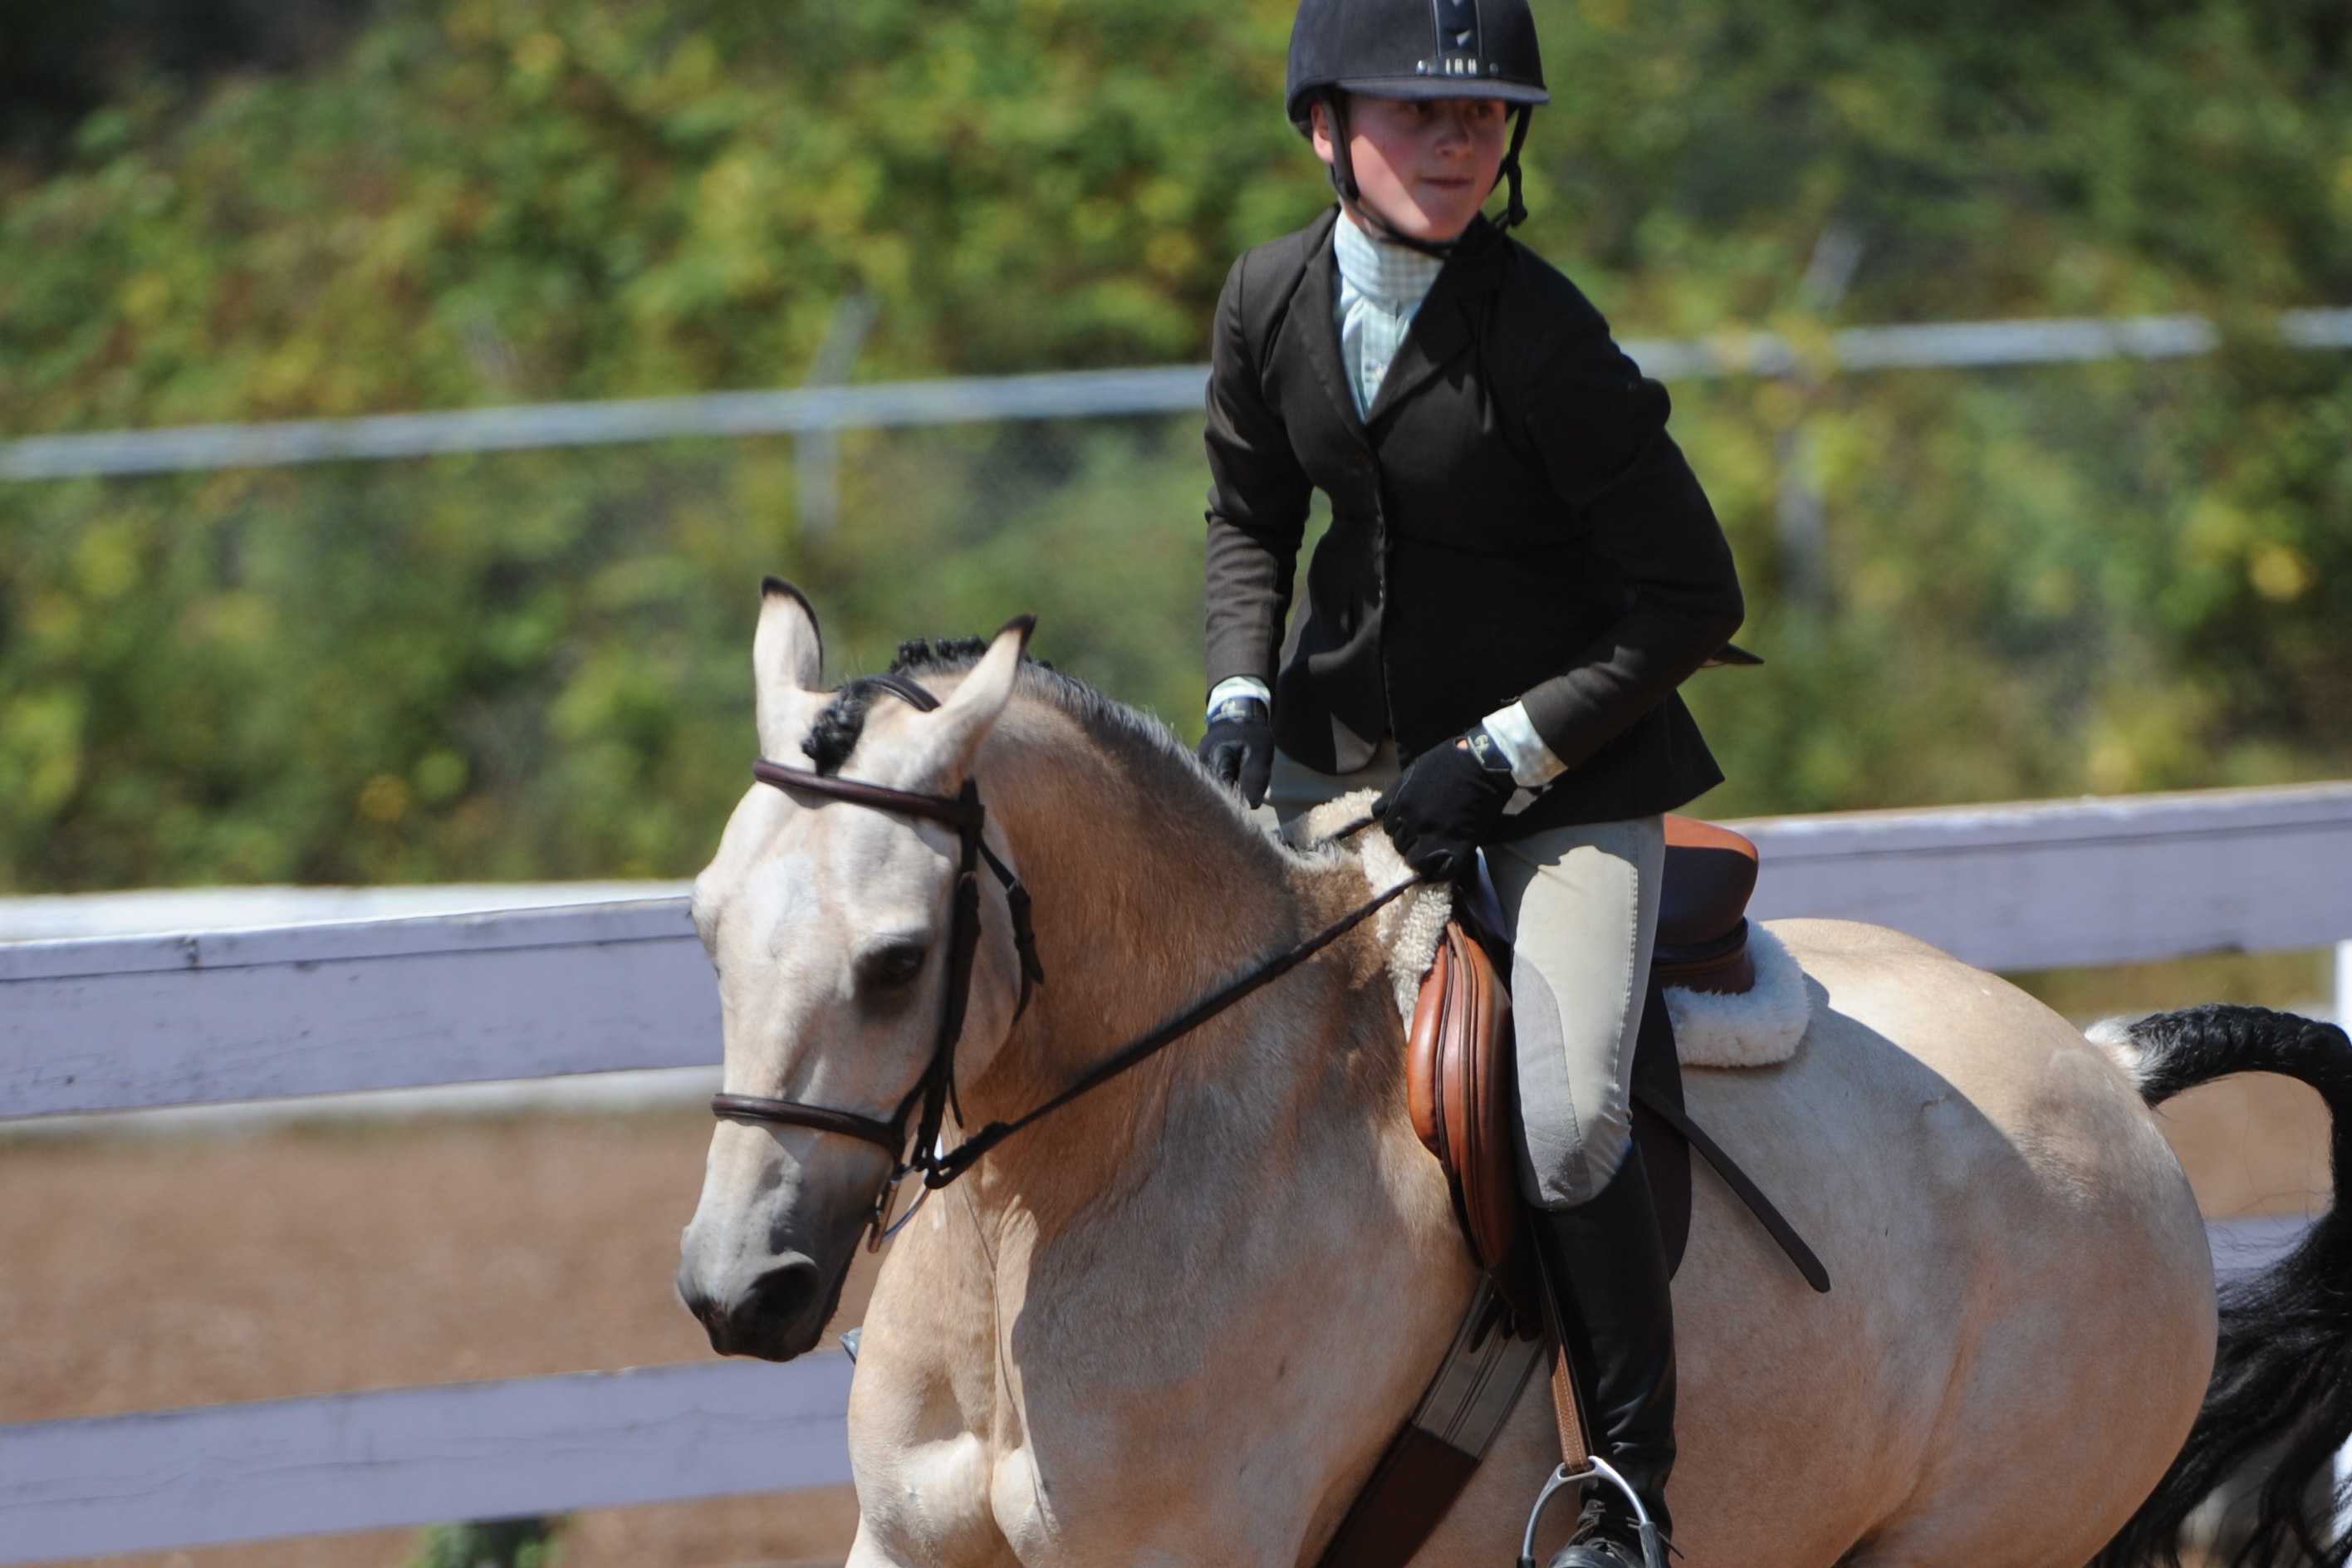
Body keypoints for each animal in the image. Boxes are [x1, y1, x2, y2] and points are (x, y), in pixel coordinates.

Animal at [676, 584, 2352, 1568]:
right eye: (702, 928)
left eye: (897, 959)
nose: (737, 1289)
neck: (1086, 1177)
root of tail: (2105, 1073)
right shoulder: (907, 1545)